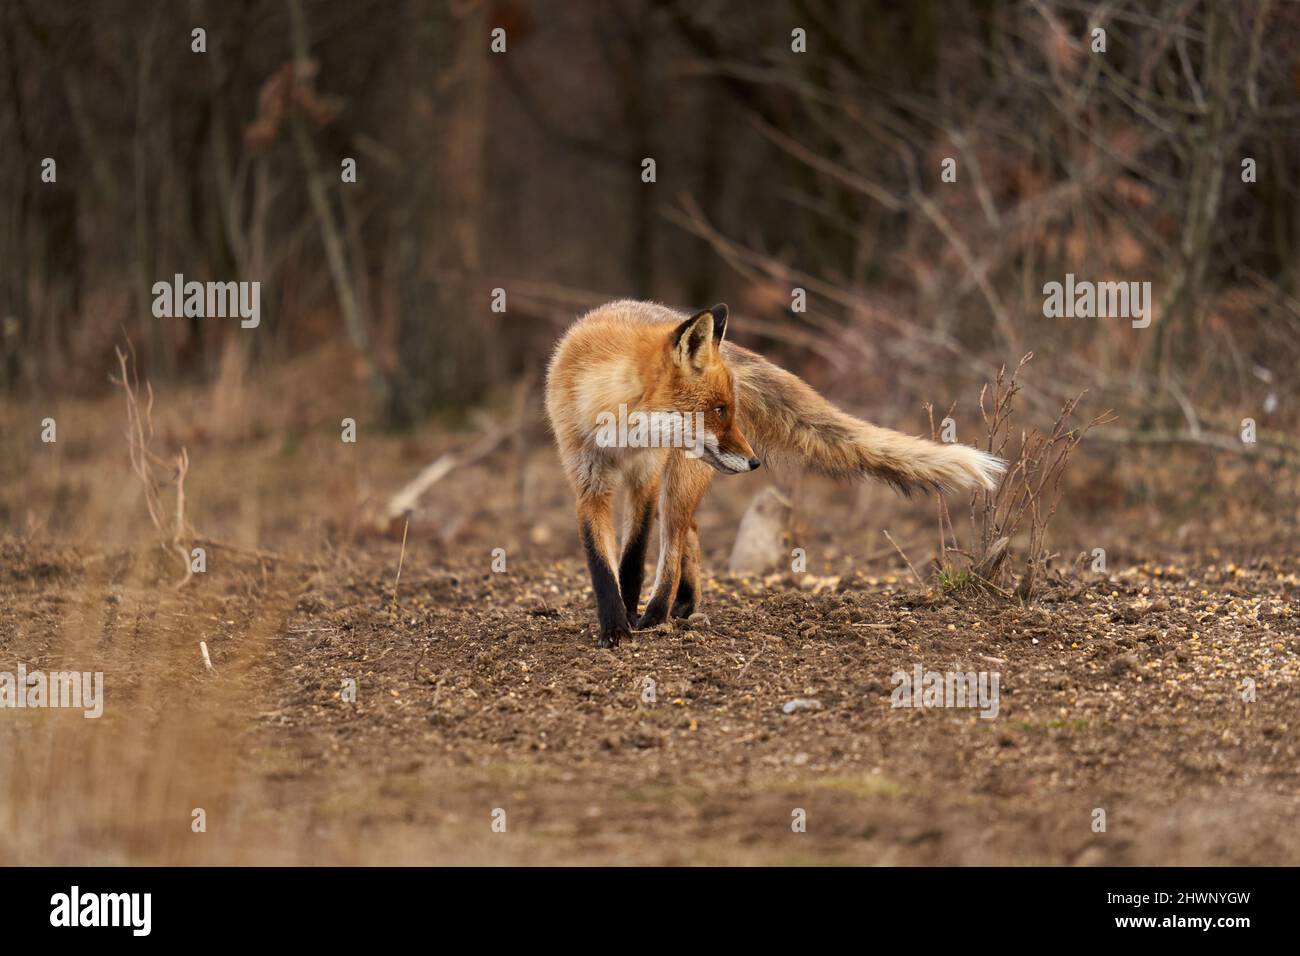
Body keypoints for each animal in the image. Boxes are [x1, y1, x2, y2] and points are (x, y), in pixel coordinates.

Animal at [545, 299, 1007, 647]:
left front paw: (630, 614)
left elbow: (633, 560)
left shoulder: (645, 476)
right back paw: (683, 604)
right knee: (689, 531)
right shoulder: (587, 479)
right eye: (718, 410)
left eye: (730, 410)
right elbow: (600, 563)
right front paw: (613, 626)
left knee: (676, 540)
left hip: (677, 477)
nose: (755, 463)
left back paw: (661, 612)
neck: (617, 429)